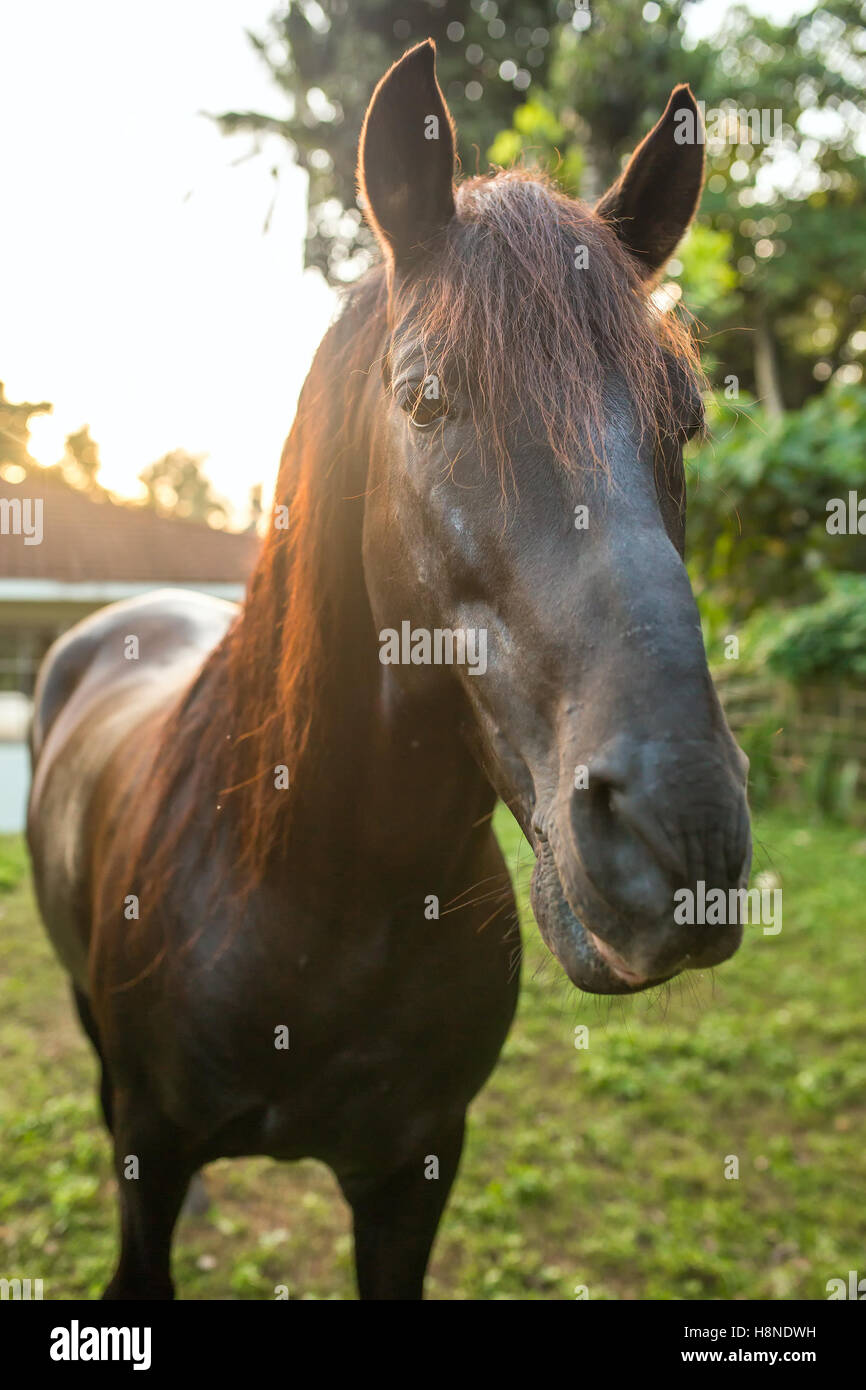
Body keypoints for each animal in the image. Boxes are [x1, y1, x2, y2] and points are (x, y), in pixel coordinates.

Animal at [26, 40, 751, 1300]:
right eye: (423, 397)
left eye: (686, 416)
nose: (684, 836)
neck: (313, 887)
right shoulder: (149, 1164)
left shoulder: (412, 1173)